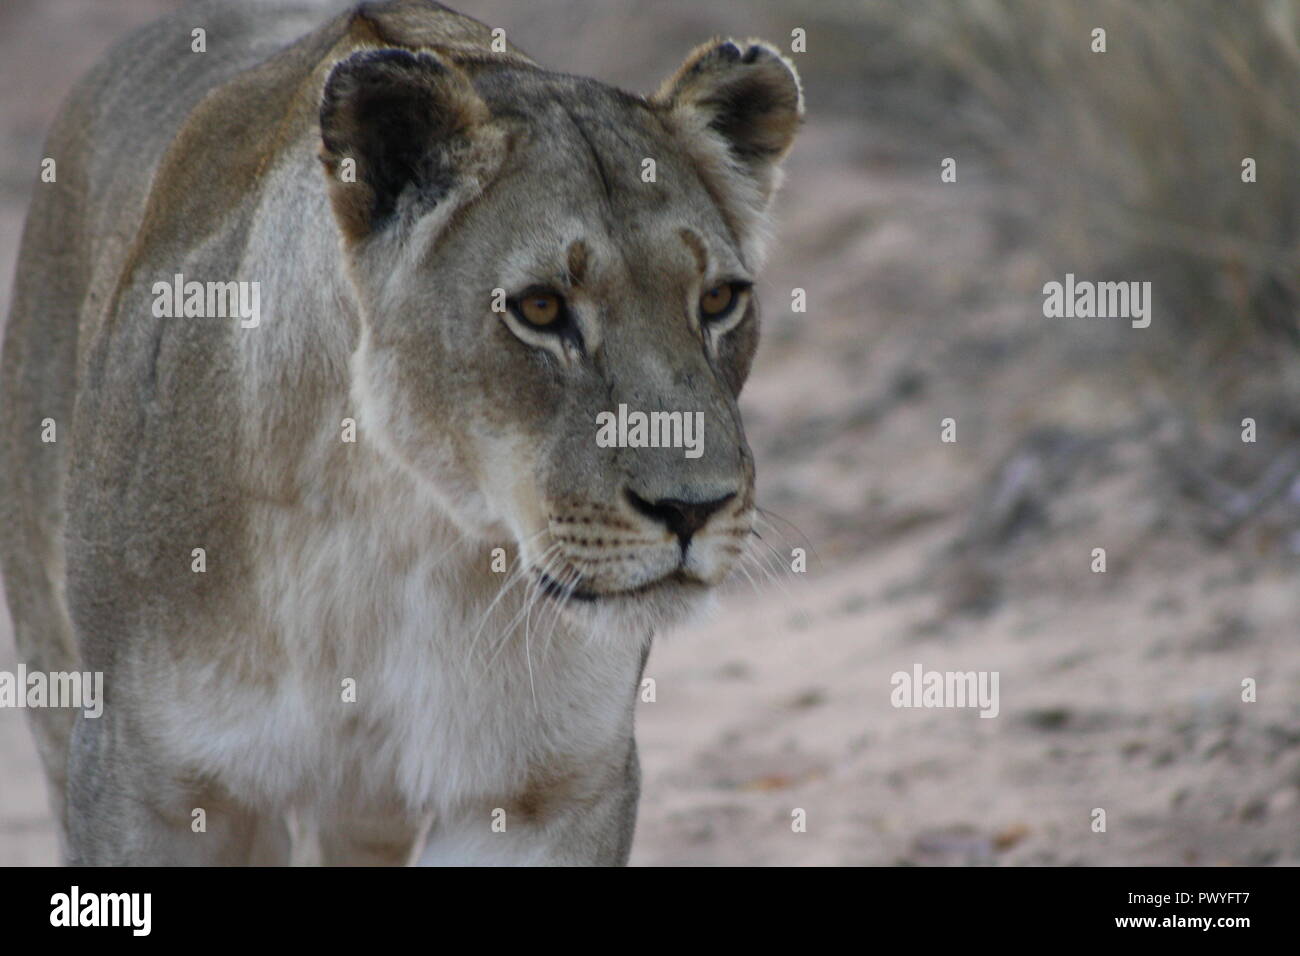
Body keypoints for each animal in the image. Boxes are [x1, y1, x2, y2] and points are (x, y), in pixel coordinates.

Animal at [0, 0, 802, 865]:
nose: (693, 510)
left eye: (718, 299)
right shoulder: (144, 781)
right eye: (541, 308)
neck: (392, 526)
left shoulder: (544, 788)